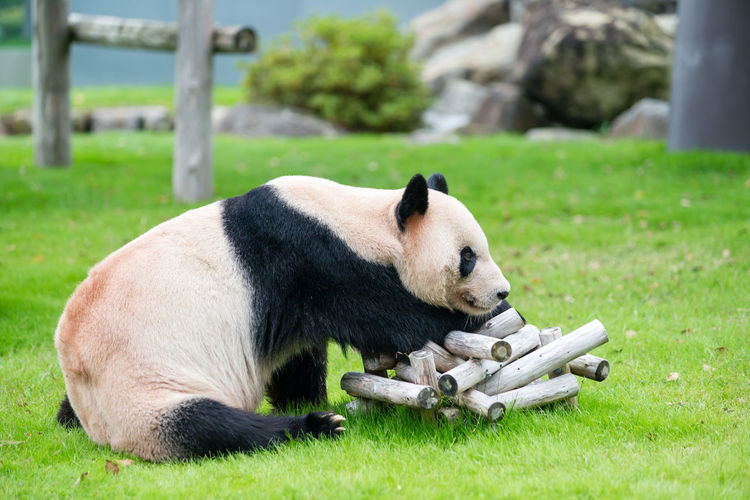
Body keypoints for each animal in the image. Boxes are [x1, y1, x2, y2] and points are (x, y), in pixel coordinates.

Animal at [54, 173, 511, 461]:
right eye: (467, 257)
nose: (501, 289)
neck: (361, 220)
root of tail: (95, 423)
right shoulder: (313, 260)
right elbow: (393, 317)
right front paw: (495, 314)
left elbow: (296, 358)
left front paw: (303, 395)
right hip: (142, 390)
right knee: (208, 427)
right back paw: (318, 425)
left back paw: (65, 419)